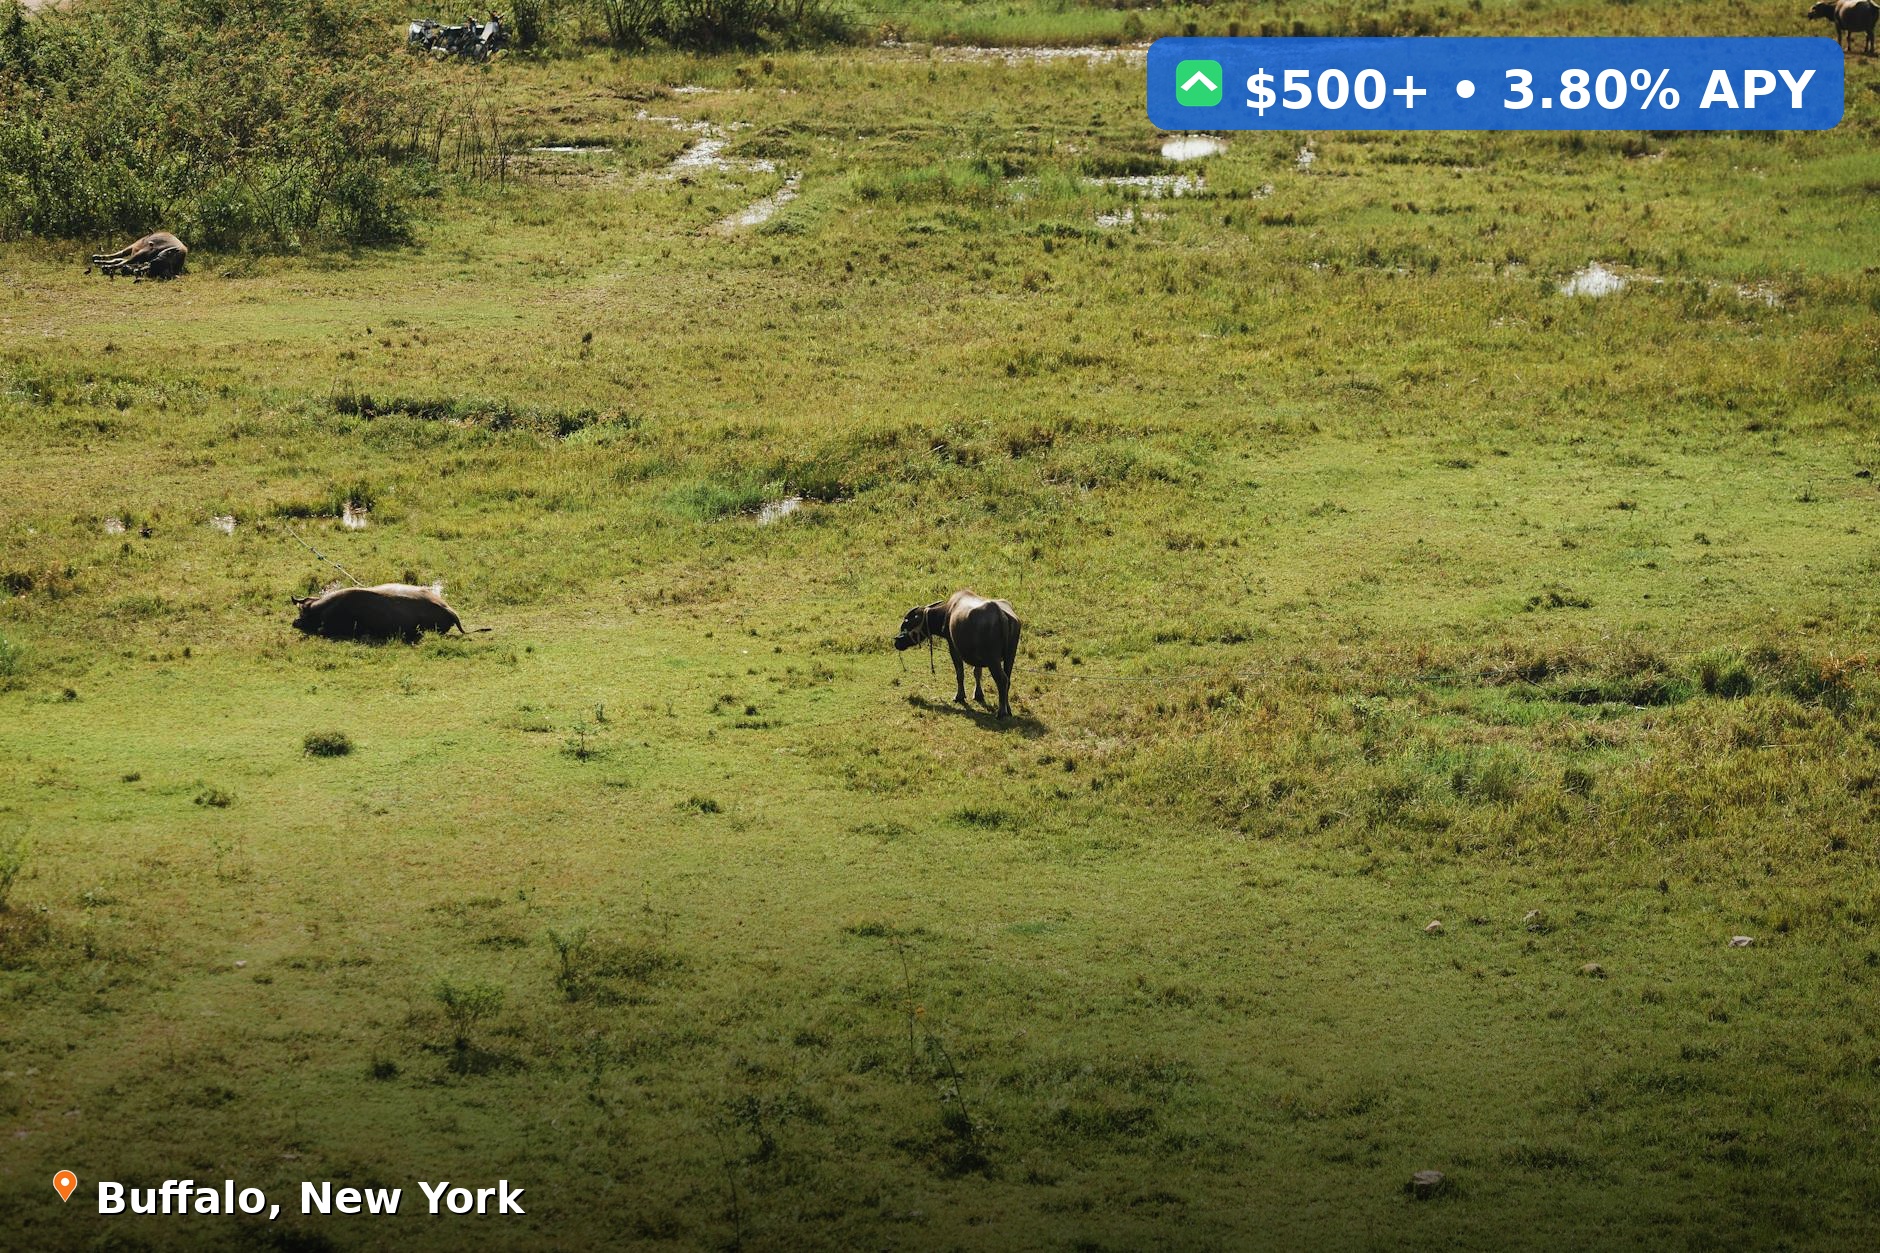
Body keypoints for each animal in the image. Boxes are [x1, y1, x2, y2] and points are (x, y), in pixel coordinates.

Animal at [894, 590, 1021, 720]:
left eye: (906, 624)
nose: (897, 642)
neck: (947, 612)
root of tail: (1001, 614)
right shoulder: (978, 656)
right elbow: (977, 673)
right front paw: (978, 695)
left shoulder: (953, 647)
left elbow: (960, 673)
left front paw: (959, 696)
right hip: (1010, 655)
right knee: (1008, 679)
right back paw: (1008, 709)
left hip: (993, 660)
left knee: (1002, 680)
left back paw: (1001, 712)